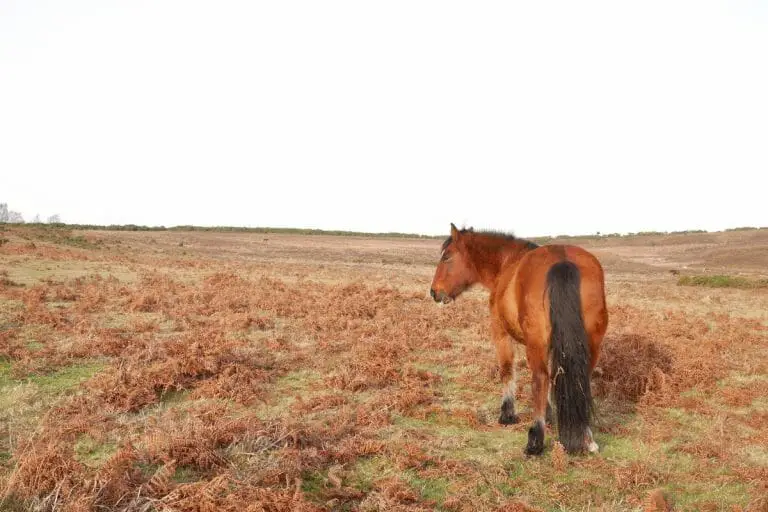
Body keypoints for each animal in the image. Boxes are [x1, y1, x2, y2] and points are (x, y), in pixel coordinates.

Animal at [429, 224, 608, 455]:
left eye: (447, 257)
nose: (434, 292)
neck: (506, 263)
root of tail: (562, 260)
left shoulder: (501, 333)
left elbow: (507, 371)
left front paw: (507, 414)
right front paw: (550, 416)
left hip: (537, 344)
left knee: (539, 379)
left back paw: (535, 440)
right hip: (591, 345)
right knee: (580, 380)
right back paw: (587, 438)